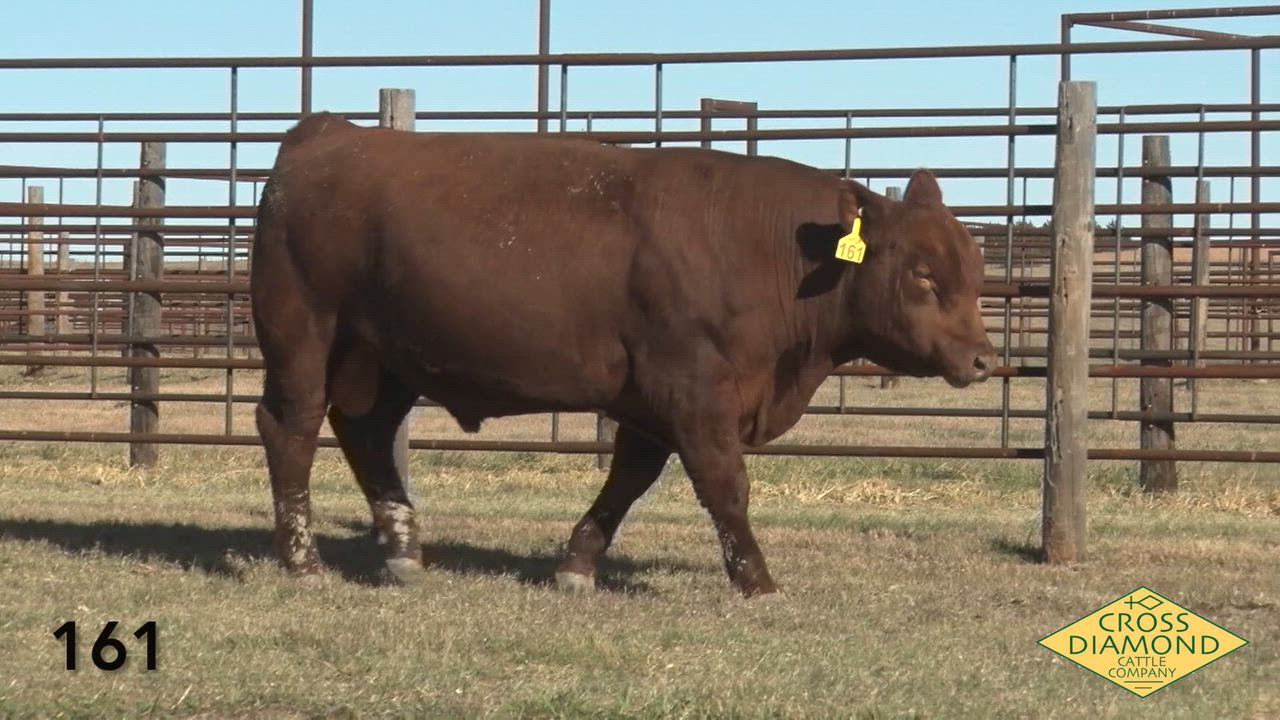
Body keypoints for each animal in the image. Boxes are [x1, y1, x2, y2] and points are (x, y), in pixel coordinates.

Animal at [250, 112, 996, 598]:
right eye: (923, 273)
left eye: (973, 267)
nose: (983, 358)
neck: (759, 250)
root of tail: (332, 133)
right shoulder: (692, 385)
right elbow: (725, 483)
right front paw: (757, 580)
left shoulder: (649, 397)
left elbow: (630, 480)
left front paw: (576, 565)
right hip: (303, 333)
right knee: (291, 428)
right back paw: (302, 561)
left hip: (381, 358)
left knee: (368, 434)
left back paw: (404, 551)